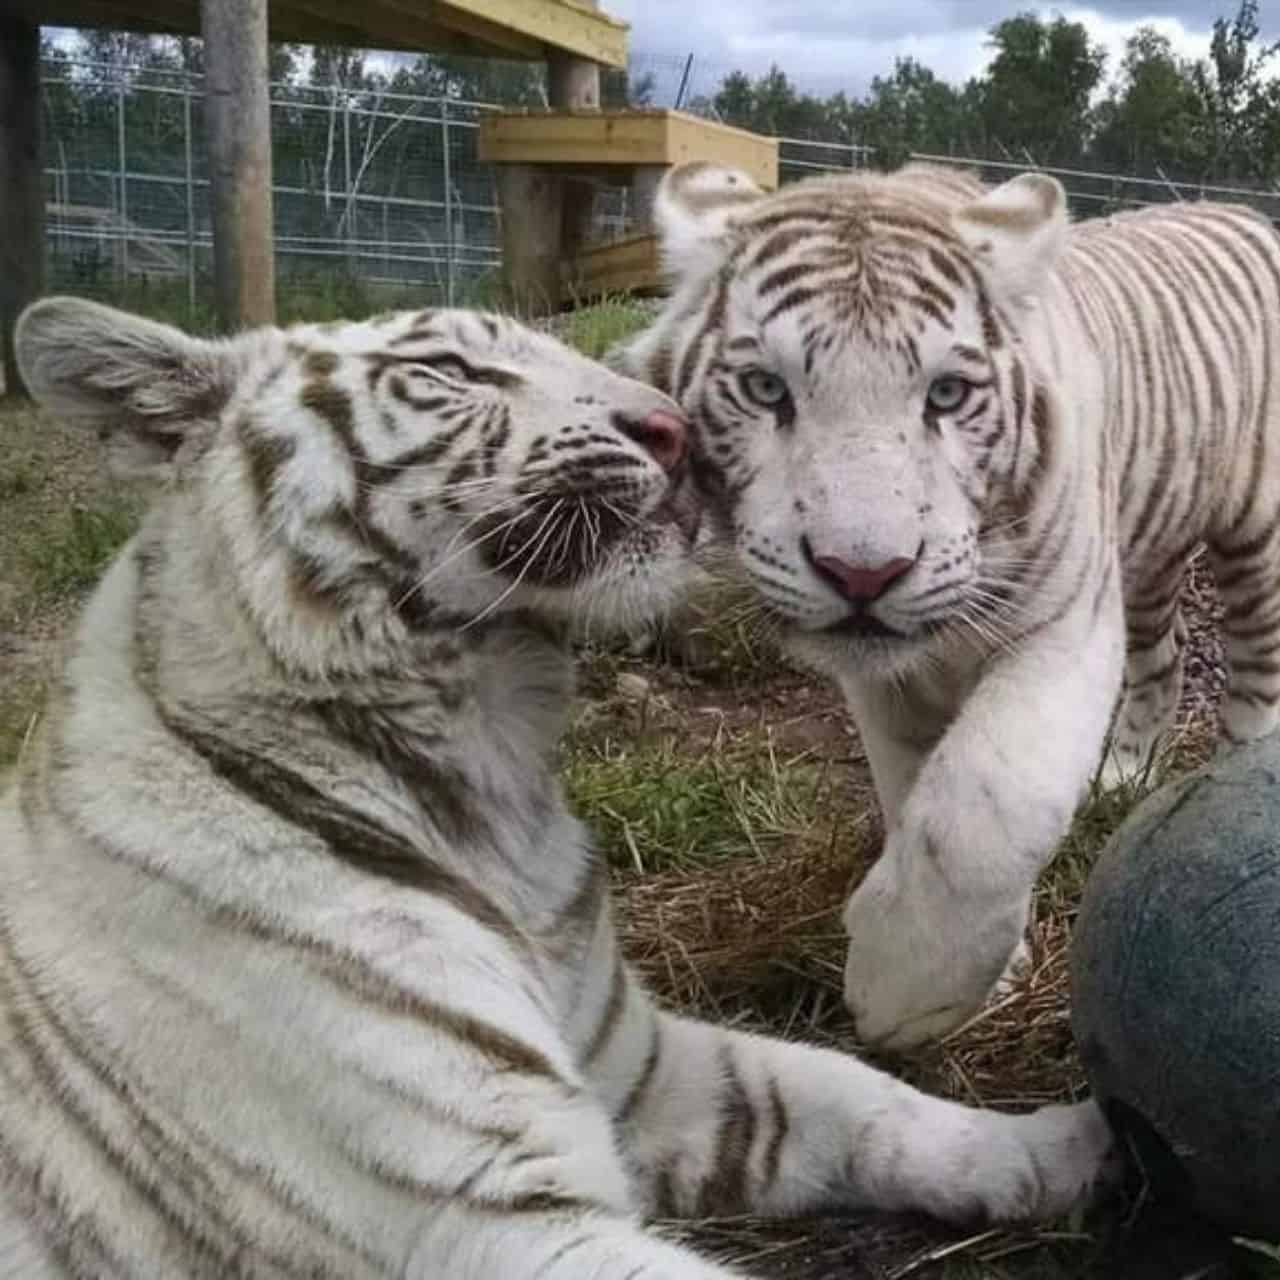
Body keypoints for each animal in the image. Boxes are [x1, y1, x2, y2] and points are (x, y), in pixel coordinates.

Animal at [0, 296, 1111, 1277]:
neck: (493, 772)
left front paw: (1072, 1143)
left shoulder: (641, 1070)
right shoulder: (479, 1217)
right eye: (448, 371)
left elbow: (858, 1095)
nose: (673, 428)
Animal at [610, 158, 1280, 1053]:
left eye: (949, 394)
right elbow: (912, 796)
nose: (863, 574)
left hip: (1254, 538)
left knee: (1255, 674)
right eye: (764, 388)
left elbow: (981, 811)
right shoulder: (886, 683)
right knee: (1162, 663)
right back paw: (1124, 776)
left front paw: (901, 992)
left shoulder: (1064, 626)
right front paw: (992, 972)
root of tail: (1238, 212)